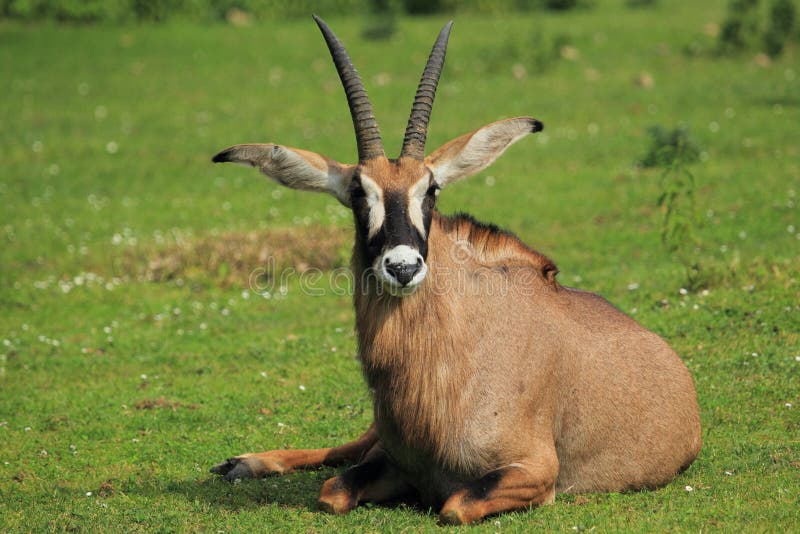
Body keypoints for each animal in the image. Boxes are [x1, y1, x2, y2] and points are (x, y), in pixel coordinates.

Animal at [210, 16, 702, 525]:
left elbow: (454, 505)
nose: (403, 266)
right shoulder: (392, 460)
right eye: (358, 193)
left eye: (431, 189)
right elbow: (332, 490)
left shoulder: (534, 471)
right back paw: (242, 463)